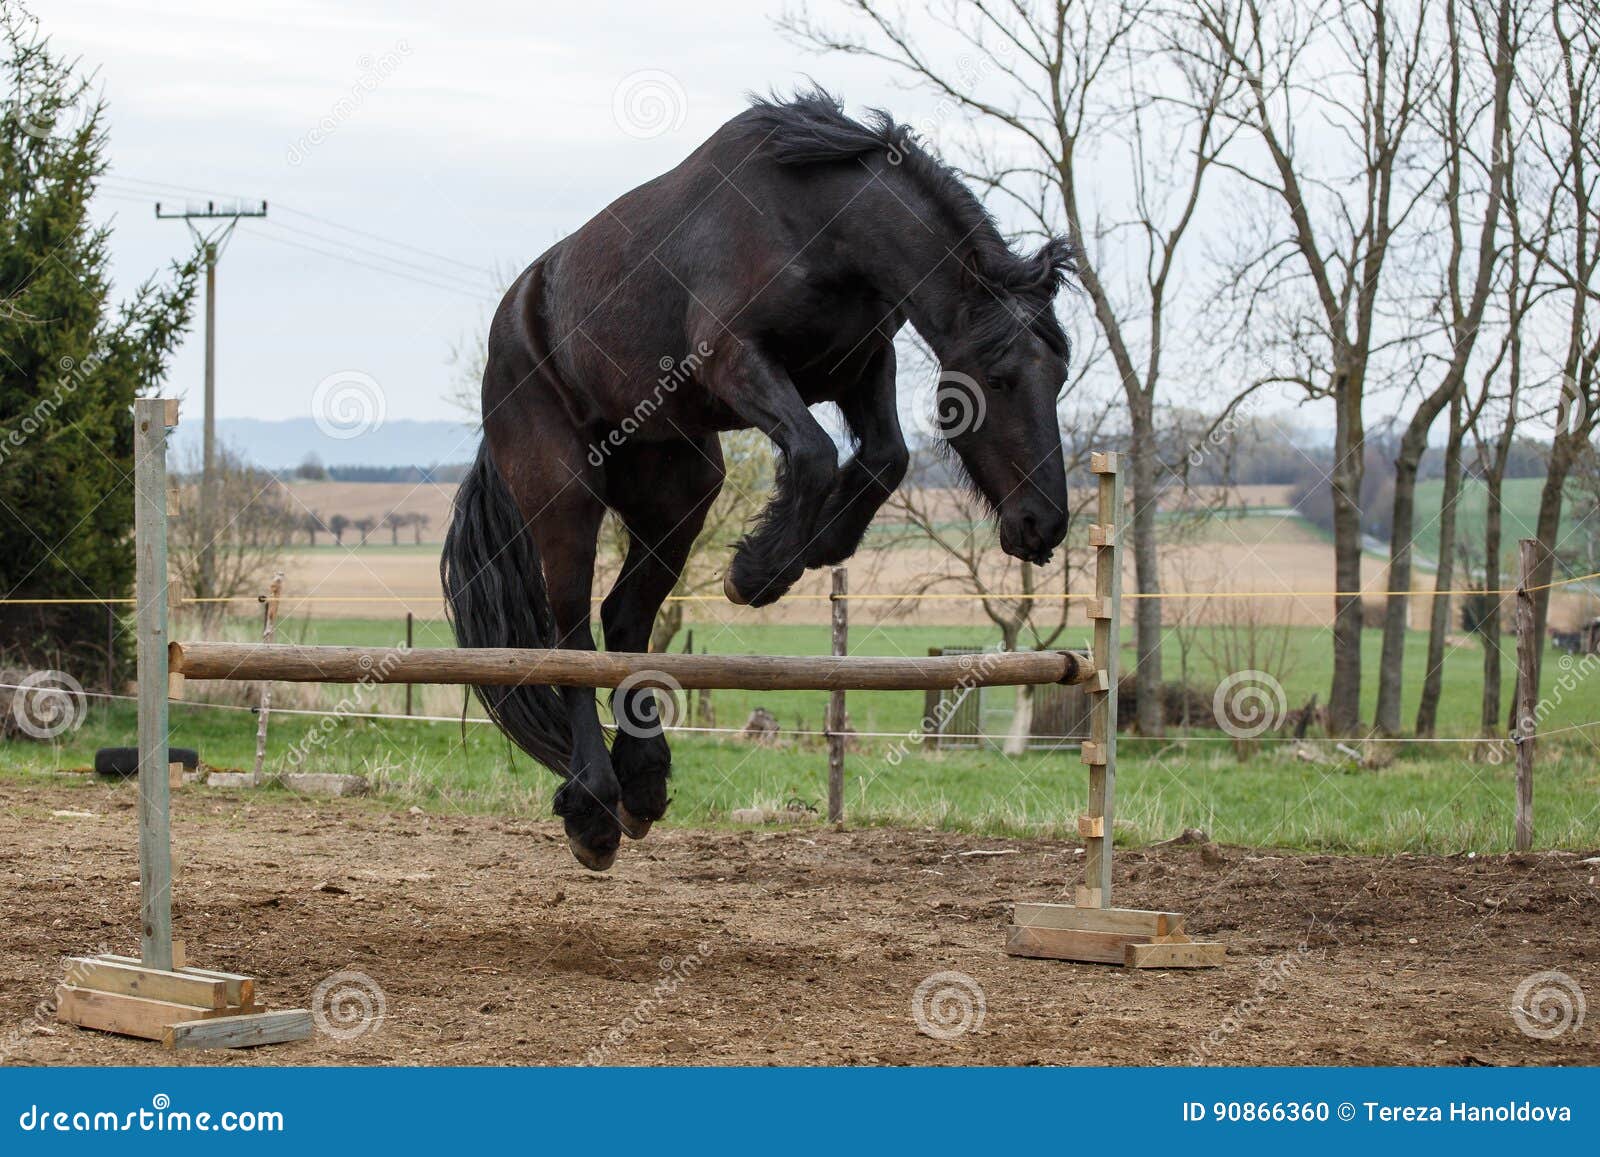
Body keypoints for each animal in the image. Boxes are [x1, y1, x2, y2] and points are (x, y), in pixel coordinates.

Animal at [442, 92, 1074, 871]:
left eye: (1060, 375)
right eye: (1001, 377)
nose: (1044, 524)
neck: (821, 226)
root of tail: (516, 319)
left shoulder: (862, 364)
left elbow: (885, 458)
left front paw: (816, 547)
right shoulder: (737, 360)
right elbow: (813, 452)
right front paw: (756, 573)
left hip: (681, 495)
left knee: (625, 618)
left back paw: (643, 783)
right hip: (565, 496)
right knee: (571, 635)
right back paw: (593, 808)